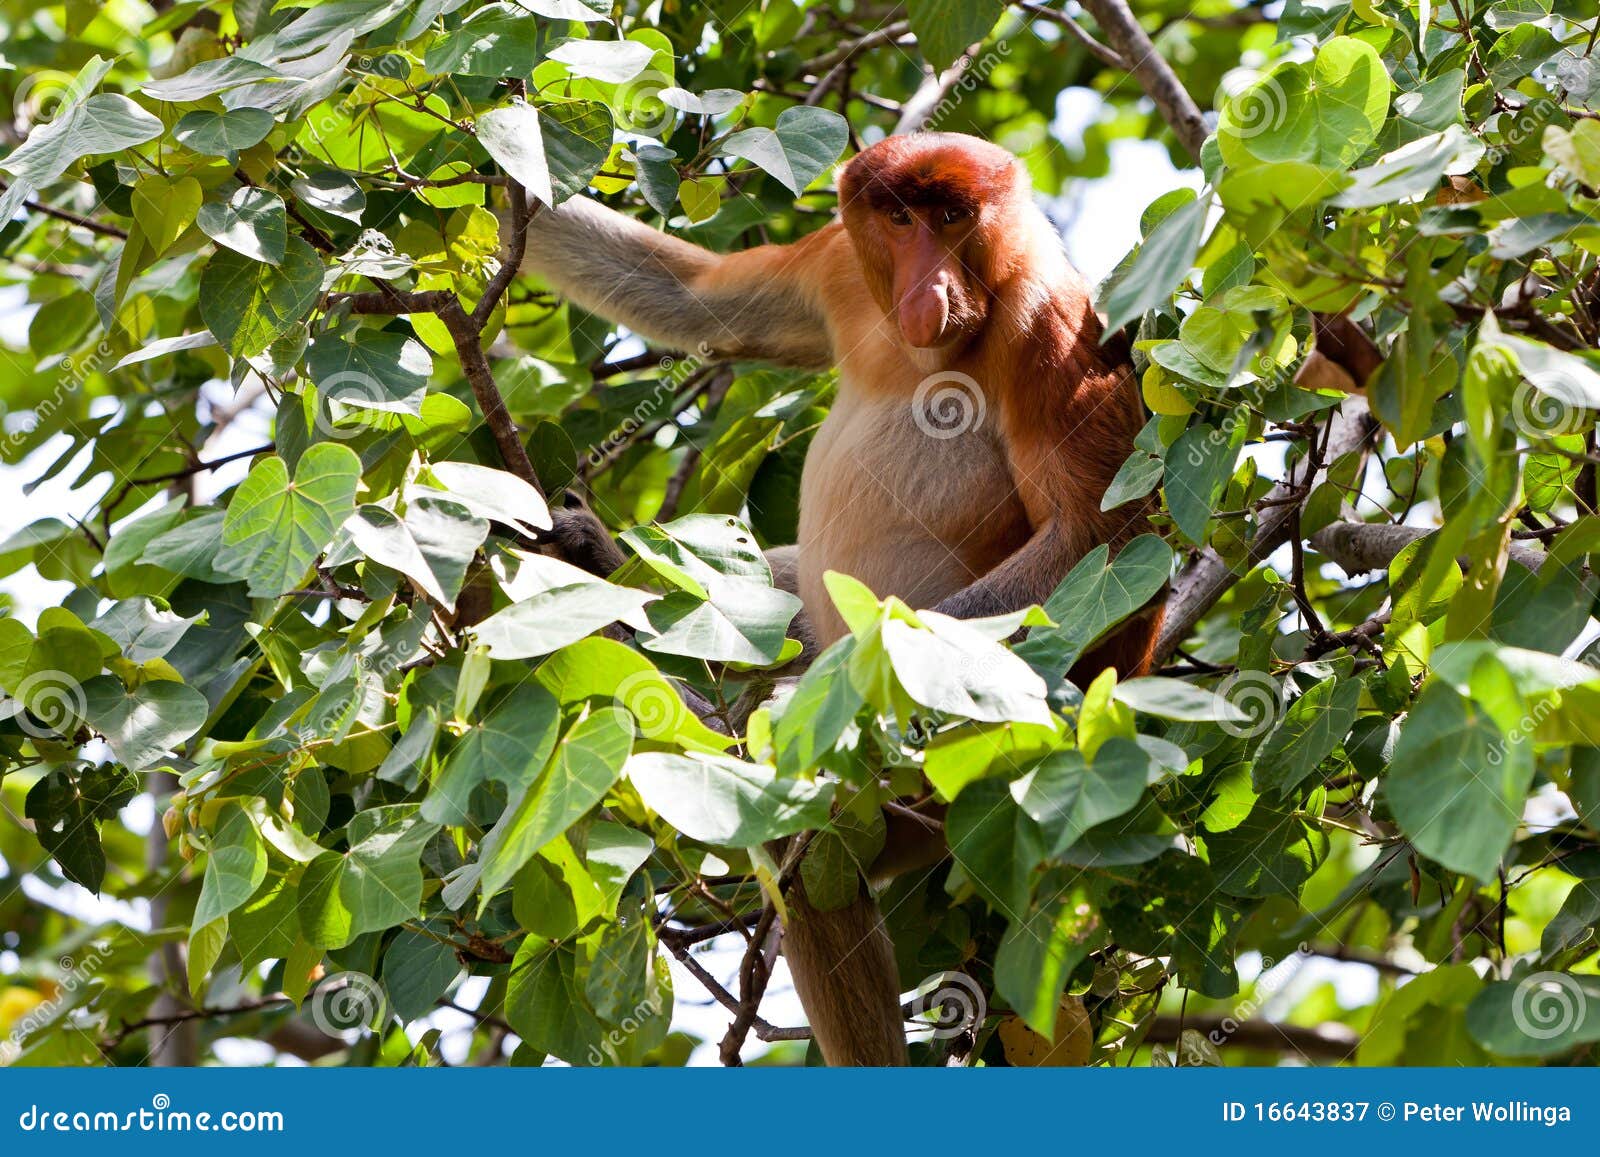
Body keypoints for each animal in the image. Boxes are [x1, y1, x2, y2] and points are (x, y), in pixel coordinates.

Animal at [518, 132, 1161, 1065]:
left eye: (953, 217)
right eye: (898, 219)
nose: (928, 291)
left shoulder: (1048, 323)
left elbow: (1101, 532)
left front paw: (809, 705)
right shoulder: (841, 267)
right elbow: (696, 301)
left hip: (939, 789)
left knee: (806, 842)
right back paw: (602, 567)